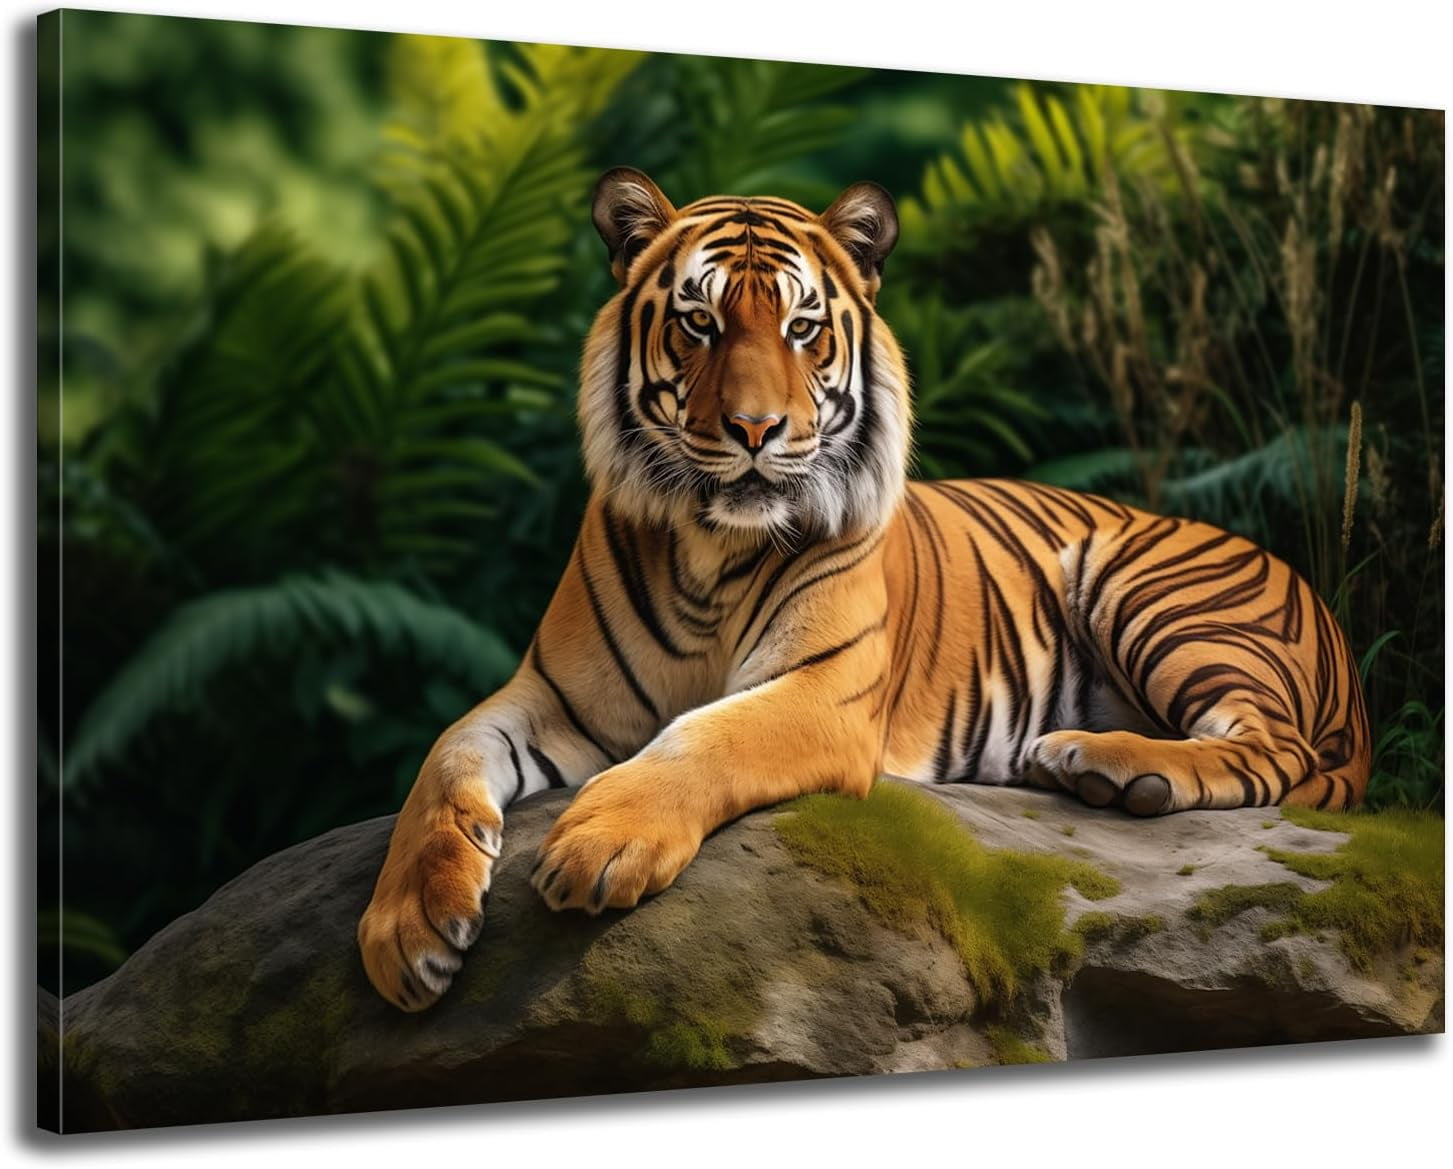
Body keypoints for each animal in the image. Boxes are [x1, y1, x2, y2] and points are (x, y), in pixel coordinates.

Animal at [358, 167, 1371, 1011]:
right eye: (700, 322)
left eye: (802, 329)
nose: (755, 428)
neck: (710, 550)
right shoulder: (552, 695)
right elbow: (444, 758)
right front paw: (407, 932)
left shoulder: (822, 692)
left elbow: (701, 736)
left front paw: (602, 841)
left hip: (1150, 591)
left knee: (1271, 752)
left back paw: (1108, 764)